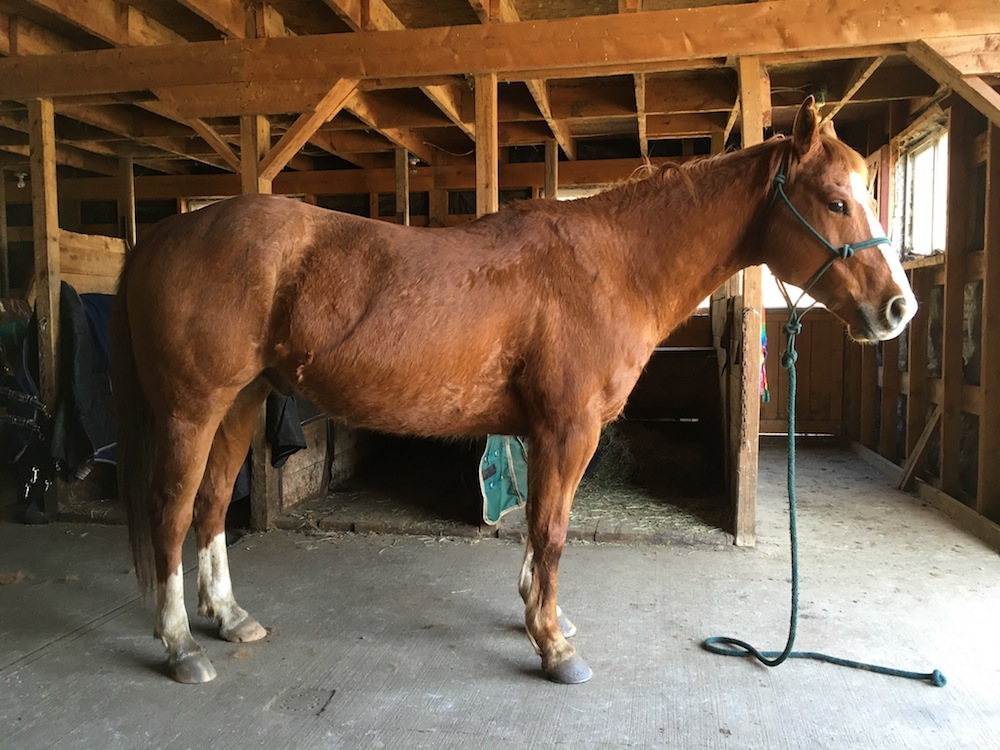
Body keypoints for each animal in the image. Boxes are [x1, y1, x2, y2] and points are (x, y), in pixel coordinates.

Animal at [112, 97, 916, 685]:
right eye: (836, 201)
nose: (898, 309)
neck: (611, 267)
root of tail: (163, 237)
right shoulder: (568, 429)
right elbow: (553, 531)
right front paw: (554, 648)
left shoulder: (546, 434)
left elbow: (536, 530)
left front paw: (540, 616)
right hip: (192, 409)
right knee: (171, 511)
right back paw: (183, 645)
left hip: (241, 402)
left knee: (212, 506)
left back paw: (229, 617)